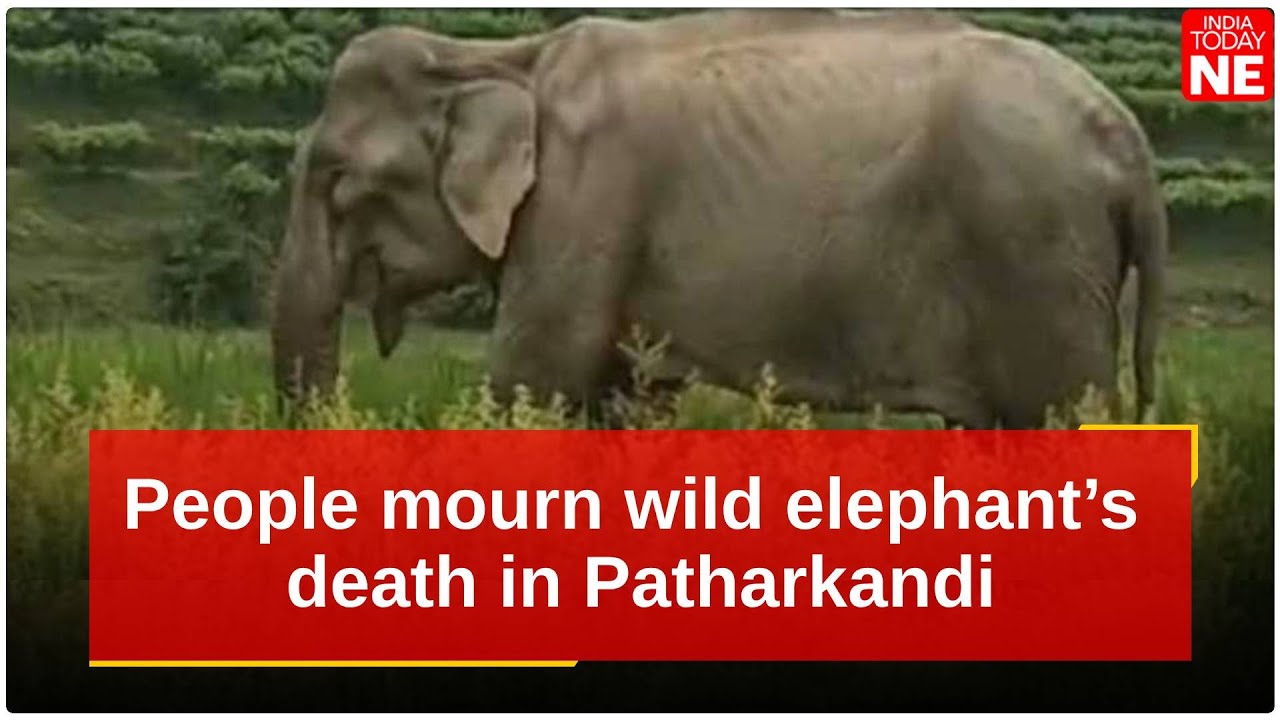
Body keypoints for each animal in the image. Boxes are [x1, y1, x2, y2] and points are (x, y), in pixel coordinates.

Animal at [270, 8, 1167, 429]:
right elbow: (621, 396)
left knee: (1058, 417)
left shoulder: (587, 197)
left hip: (1036, 252)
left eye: (337, 181)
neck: (495, 56)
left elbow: (534, 380)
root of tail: (1128, 136)